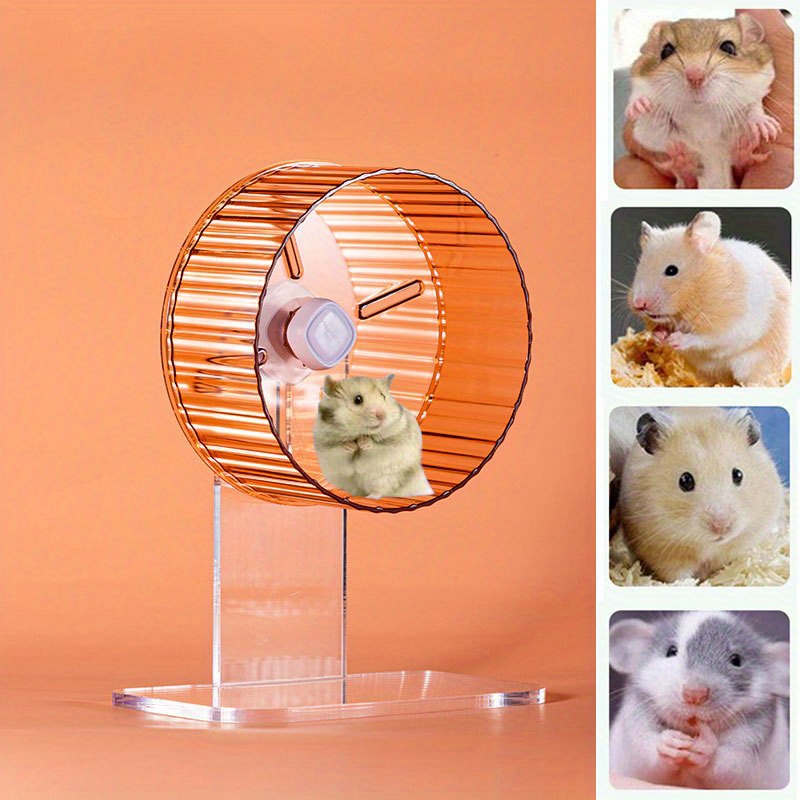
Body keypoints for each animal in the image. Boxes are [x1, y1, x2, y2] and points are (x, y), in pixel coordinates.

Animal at [610, 611, 789, 789]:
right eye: (671, 651)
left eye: (736, 660)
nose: (694, 694)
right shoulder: (635, 716)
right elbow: (644, 751)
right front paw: (667, 742)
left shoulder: (754, 734)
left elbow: (732, 765)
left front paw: (706, 747)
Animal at [612, 407, 783, 583]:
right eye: (685, 480)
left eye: (738, 475)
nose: (722, 527)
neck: (707, 544)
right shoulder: (663, 552)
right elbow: (678, 574)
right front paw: (689, 583)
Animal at [626, 15, 779, 188]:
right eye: (666, 51)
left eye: (728, 47)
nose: (695, 77)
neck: (702, 114)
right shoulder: (646, 133)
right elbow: (648, 117)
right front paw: (639, 106)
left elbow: (753, 107)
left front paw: (768, 129)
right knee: (688, 179)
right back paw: (682, 160)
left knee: (740, 165)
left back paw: (744, 150)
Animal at [629, 211, 791, 386]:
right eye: (639, 269)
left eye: (672, 270)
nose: (638, 304)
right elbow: (657, 329)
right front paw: (660, 336)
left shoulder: (729, 325)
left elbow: (705, 338)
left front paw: (675, 340)